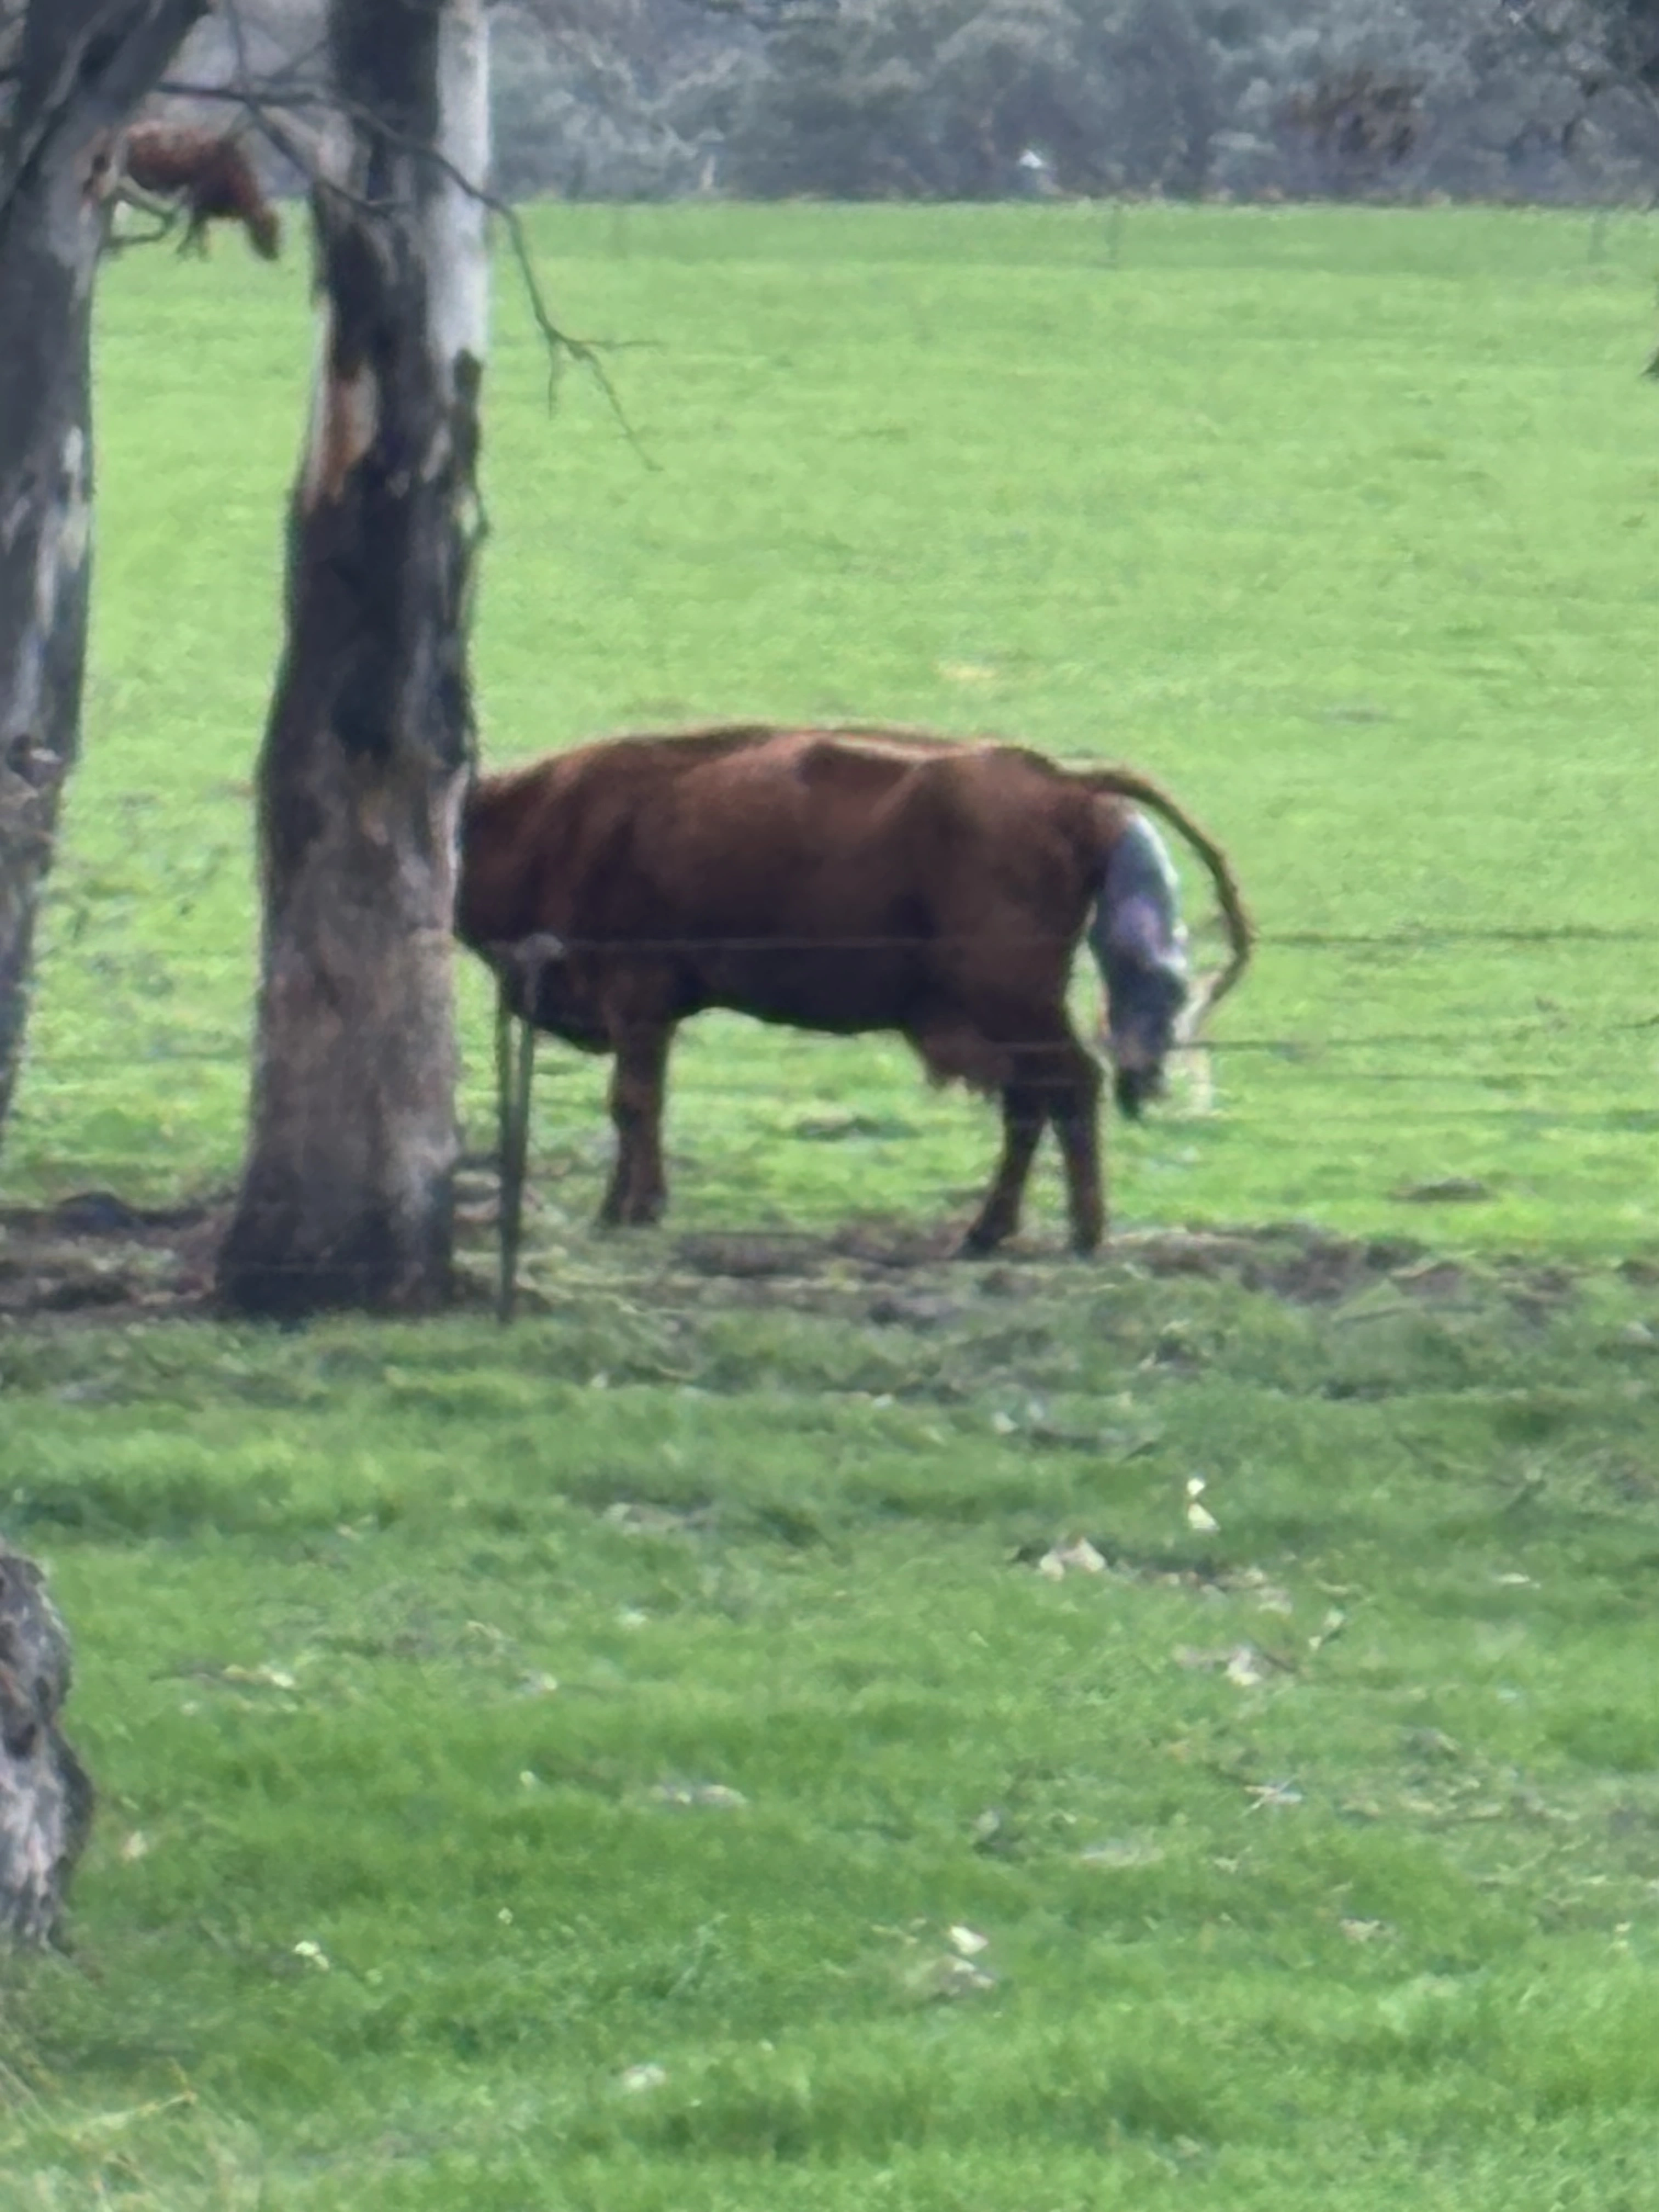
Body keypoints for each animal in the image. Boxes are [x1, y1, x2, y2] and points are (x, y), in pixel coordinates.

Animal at [118, 125, 282, 261]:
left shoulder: (201, 209)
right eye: (265, 228)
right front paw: (191, 254)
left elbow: (198, 230)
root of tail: (130, 133)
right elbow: (196, 231)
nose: (274, 256)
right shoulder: (199, 205)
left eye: (277, 228)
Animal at [458, 724, 1250, 1261]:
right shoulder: (649, 1016)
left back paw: (1078, 1232)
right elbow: (639, 1107)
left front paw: (629, 1209)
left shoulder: (637, 1000)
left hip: (1012, 1000)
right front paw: (627, 1204)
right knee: (1033, 1102)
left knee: (1068, 1087)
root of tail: (1066, 784)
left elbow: (631, 1105)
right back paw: (990, 1231)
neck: (547, 818)